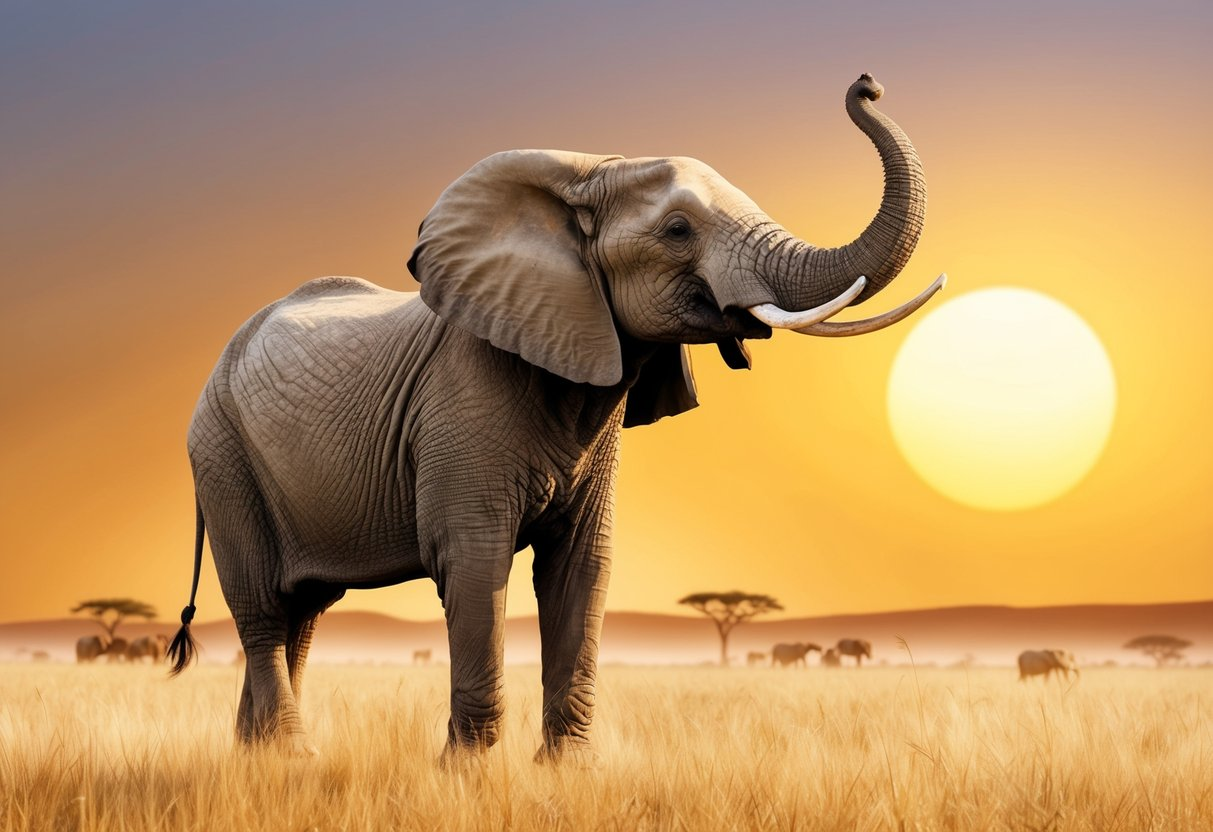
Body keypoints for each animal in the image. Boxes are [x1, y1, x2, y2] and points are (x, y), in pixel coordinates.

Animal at [167, 74, 939, 761]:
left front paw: (567, 773)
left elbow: (582, 566)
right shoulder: (462, 401)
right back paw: (292, 759)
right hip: (222, 453)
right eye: (677, 229)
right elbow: (473, 561)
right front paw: (468, 778)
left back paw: (258, 760)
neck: (586, 173)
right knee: (264, 610)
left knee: (301, 613)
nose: (867, 85)